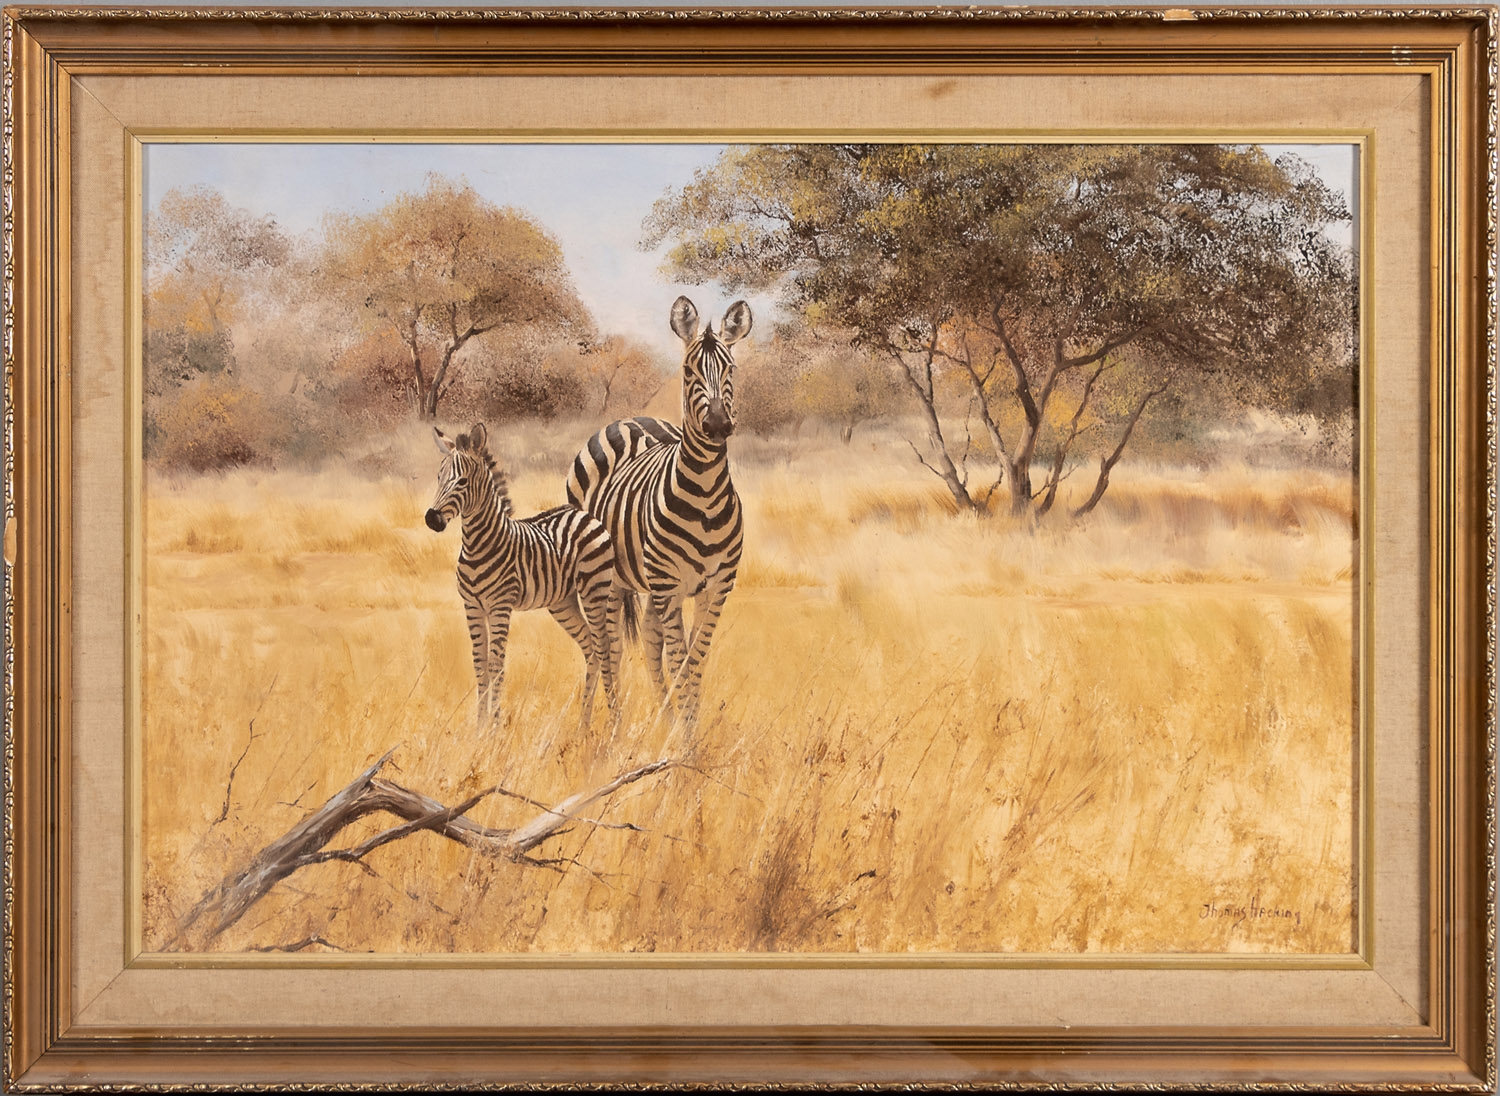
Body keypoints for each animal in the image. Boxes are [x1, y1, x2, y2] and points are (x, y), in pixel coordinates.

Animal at [426, 422, 618, 730]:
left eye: (463, 482)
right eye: (439, 477)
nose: (431, 519)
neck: (477, 545)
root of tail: (583, 513)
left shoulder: (500, 606)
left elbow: (496, 665)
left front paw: (494, 728)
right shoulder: (472, 607)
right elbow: (479, 664)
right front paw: (479, 728)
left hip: (594, 590)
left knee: (604, 648)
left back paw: (614, 723)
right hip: (562, 602)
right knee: (590, 648)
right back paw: (584, 724)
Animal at [565, 296, 750, 728]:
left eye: (730, 369)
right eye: (688, 371)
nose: (718, 425)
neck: (706, 498)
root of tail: (629, 419)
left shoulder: (717, 586)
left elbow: (694, 660)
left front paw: (686, 728)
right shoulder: (670, 584)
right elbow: (679, 658)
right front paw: (685, 735)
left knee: (648, 638)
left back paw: (661, 717)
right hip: (604, 577)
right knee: (607, 646)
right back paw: (608, 724)